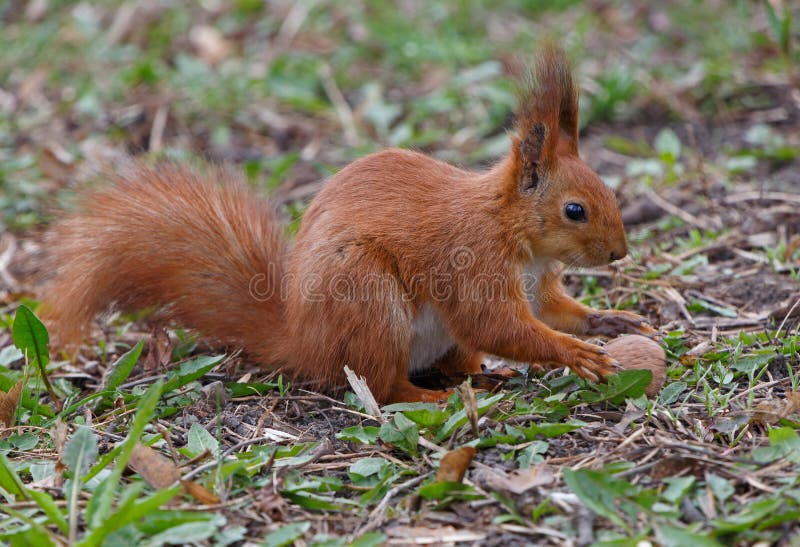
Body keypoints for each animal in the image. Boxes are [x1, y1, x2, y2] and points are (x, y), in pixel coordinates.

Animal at [41, 45, 654, 404]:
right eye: (575, 209)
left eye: (607, 189)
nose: (619, 253)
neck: (517, 234)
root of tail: (299, 342)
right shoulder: (471, 259)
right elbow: (498, 324)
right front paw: (572, 353)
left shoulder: (537, 283)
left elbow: (551, 312)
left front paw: (611, 320)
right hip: (367, 298)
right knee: (383, 386)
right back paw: (434, 397)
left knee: (449, 362)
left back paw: (480, 376)